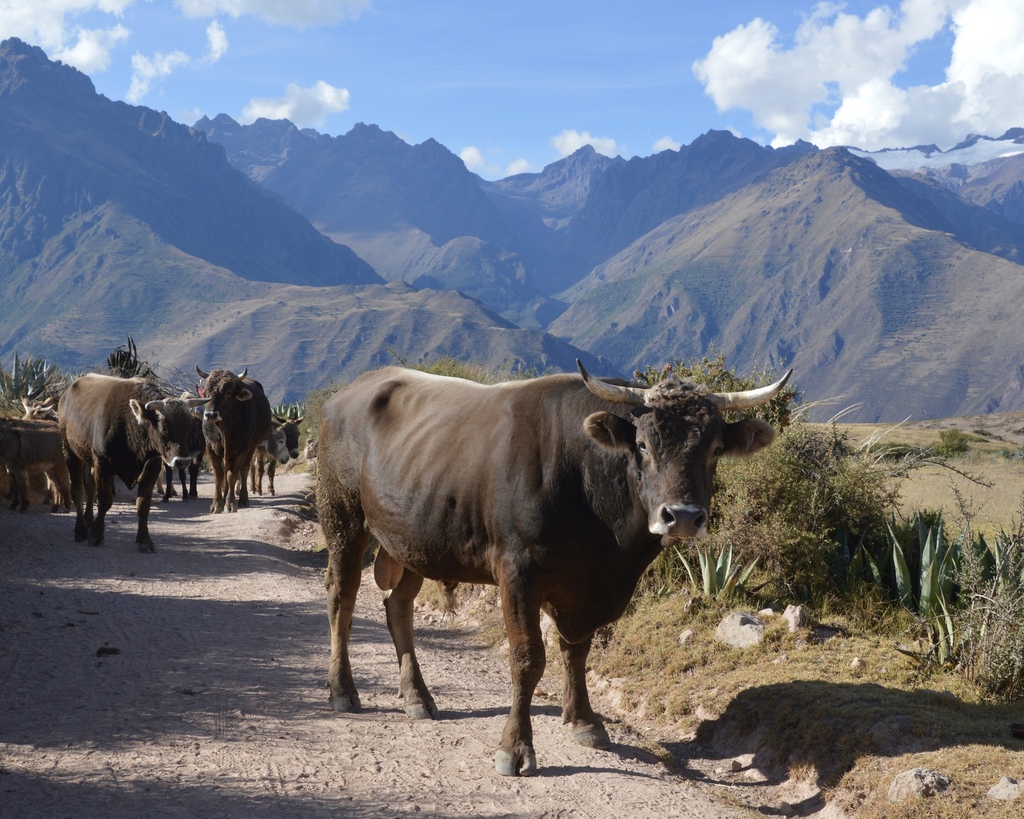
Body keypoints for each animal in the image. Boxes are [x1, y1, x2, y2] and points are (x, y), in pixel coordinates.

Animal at [57, 374, 210, 551]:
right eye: (164, 427)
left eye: (188, 426)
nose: (182, 461)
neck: (131, 425)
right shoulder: (103, 464)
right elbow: (104, 501)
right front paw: (96, 535)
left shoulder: (152, 467)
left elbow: (143, 505)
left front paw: (144, 540)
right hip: (70, 451)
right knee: (77, 489)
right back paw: (81, 529)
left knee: (90, 488)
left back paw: (89, 522)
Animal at [195, 367, 272, 513]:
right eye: (207, 392)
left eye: (228, 392)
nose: (210, 415)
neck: (224, 428)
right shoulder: (211, 448)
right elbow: (219, 476)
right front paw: (217, 504)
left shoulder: (242, 449)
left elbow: (233, 475)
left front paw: (230, 503)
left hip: (251, 448)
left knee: (244, 470)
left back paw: (243, 499)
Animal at [316, 360, 791, 776]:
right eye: (642, 444)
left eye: (715, 449)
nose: (684, 517)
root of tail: (351, 390)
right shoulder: (517, 572)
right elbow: (528, 658)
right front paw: (515, 748)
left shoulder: (589, 589)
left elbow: (576, 650)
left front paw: (584, 721)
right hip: (342, 517)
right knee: (342, 596)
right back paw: (343, 690)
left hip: (412, 538)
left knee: (398, 607)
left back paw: (417, 697)